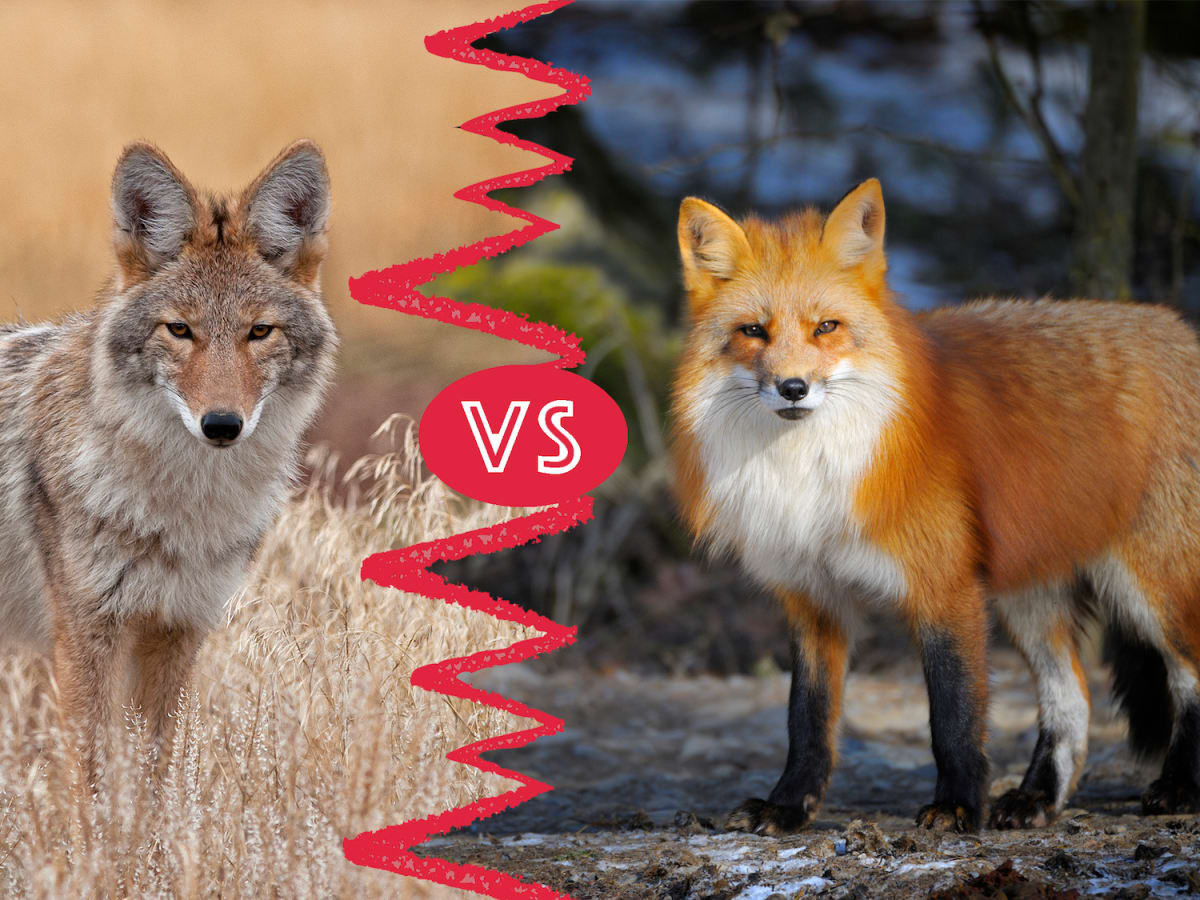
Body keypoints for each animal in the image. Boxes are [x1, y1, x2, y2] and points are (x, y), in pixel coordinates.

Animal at [0, 140, 337, 784]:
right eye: (180, 330)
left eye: (260, 332)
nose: (222, 424)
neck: (184, 509)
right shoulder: (85, 636)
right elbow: (93, 782)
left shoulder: (176, 632)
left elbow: (154, 777)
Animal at [670, 178, 1200, 834]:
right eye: (753, 332)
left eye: (826, 327)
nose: (793, 388)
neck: (812, 471)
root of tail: (1180, 328)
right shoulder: (813, 598)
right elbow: (806, 718)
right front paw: (790, 805)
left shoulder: (945, 585)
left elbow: (953, 713)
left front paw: (956, 805)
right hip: (1031, 595)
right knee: (1071, 699)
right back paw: (1035, 798)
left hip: (1151, 585)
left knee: (1186, 677)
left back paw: (1179, 788)